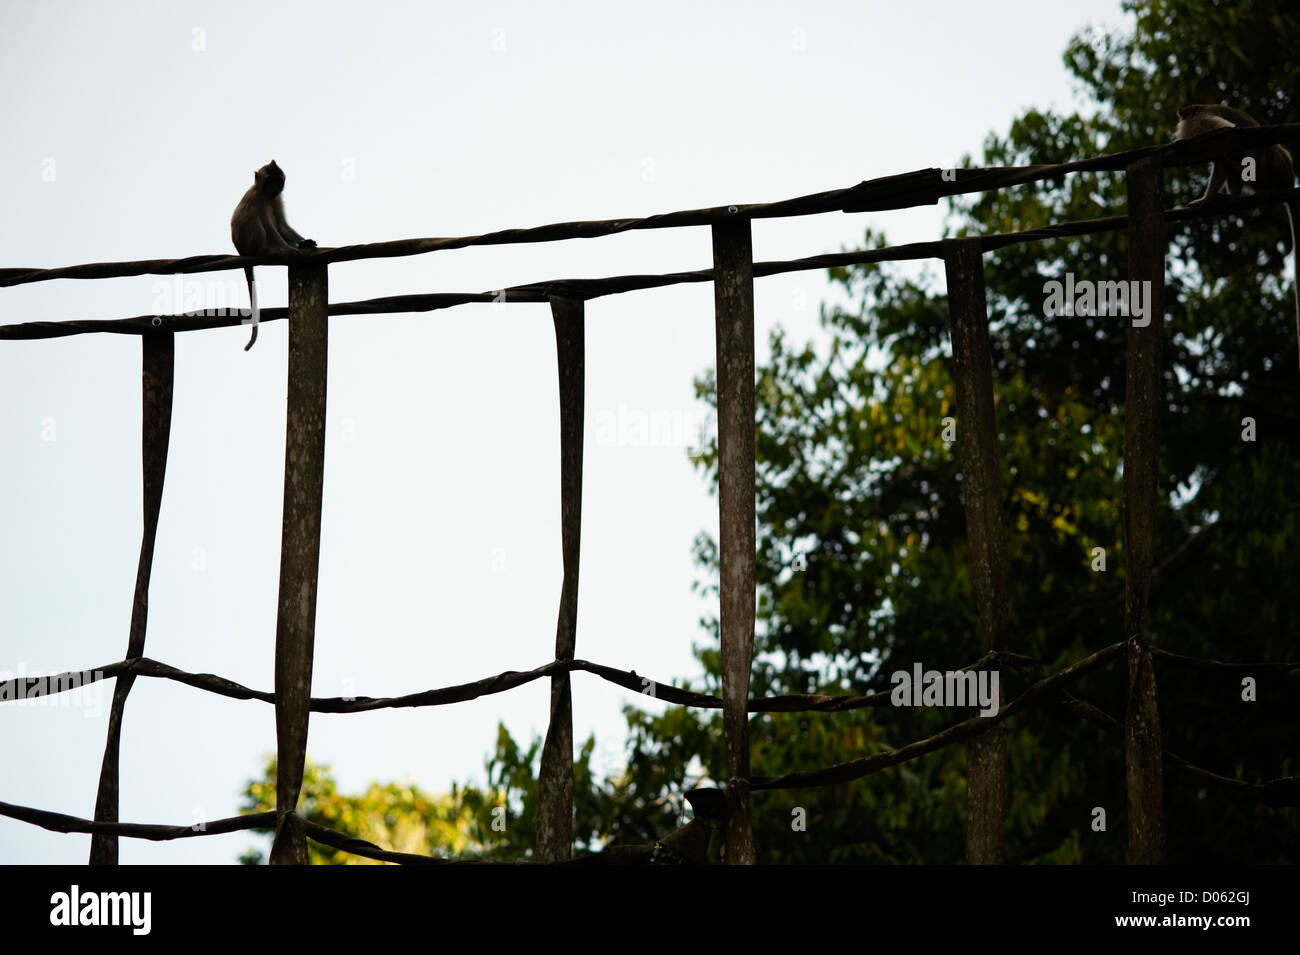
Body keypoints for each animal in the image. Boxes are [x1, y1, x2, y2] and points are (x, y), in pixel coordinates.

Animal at [230, 160, 316, 351]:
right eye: (269, 179)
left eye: (278, 180)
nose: (275, 188)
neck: (264, 194)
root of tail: (240, 250)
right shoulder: (257, 200)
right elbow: (268, 225)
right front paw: (289, 249)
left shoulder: (275, 200)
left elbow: (281, 224)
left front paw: (304, 243)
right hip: (249, 242)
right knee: (253, 219)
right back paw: (266, 250)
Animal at [1173, 104, 1300, 367]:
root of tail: (1289, 180)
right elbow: (1223, 157)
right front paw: (1210, 198)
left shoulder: (1203, 125)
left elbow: (1230, 135)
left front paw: (1206, 199)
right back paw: (1229, 197)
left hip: (1270, 167)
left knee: (1247, 155)